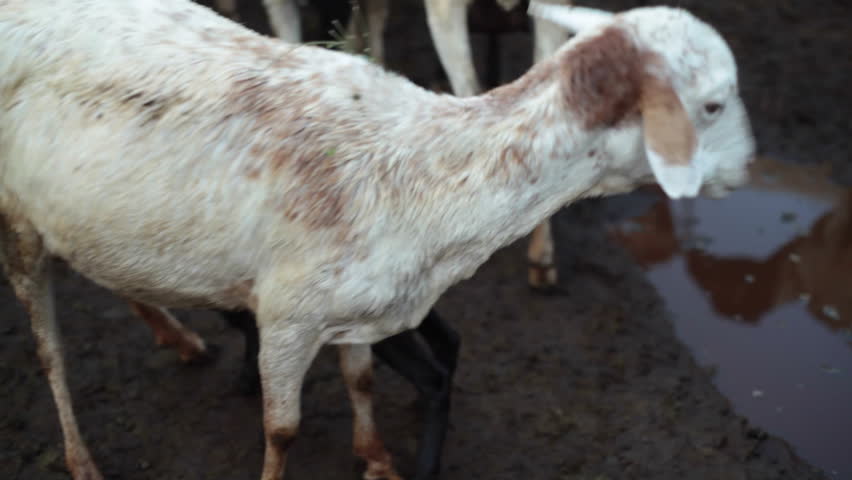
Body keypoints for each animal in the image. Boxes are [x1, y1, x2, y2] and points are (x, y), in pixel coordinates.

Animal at [0, 1, 755, 479]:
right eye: (712, 104)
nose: (748, 170)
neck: (425, 171)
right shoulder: (287, 316)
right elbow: (282, 432)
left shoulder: (357, 306)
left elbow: (360, 379)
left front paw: (379, 460)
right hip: (16, 220)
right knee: (48, 349)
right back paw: (82, 460)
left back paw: (178, 338)